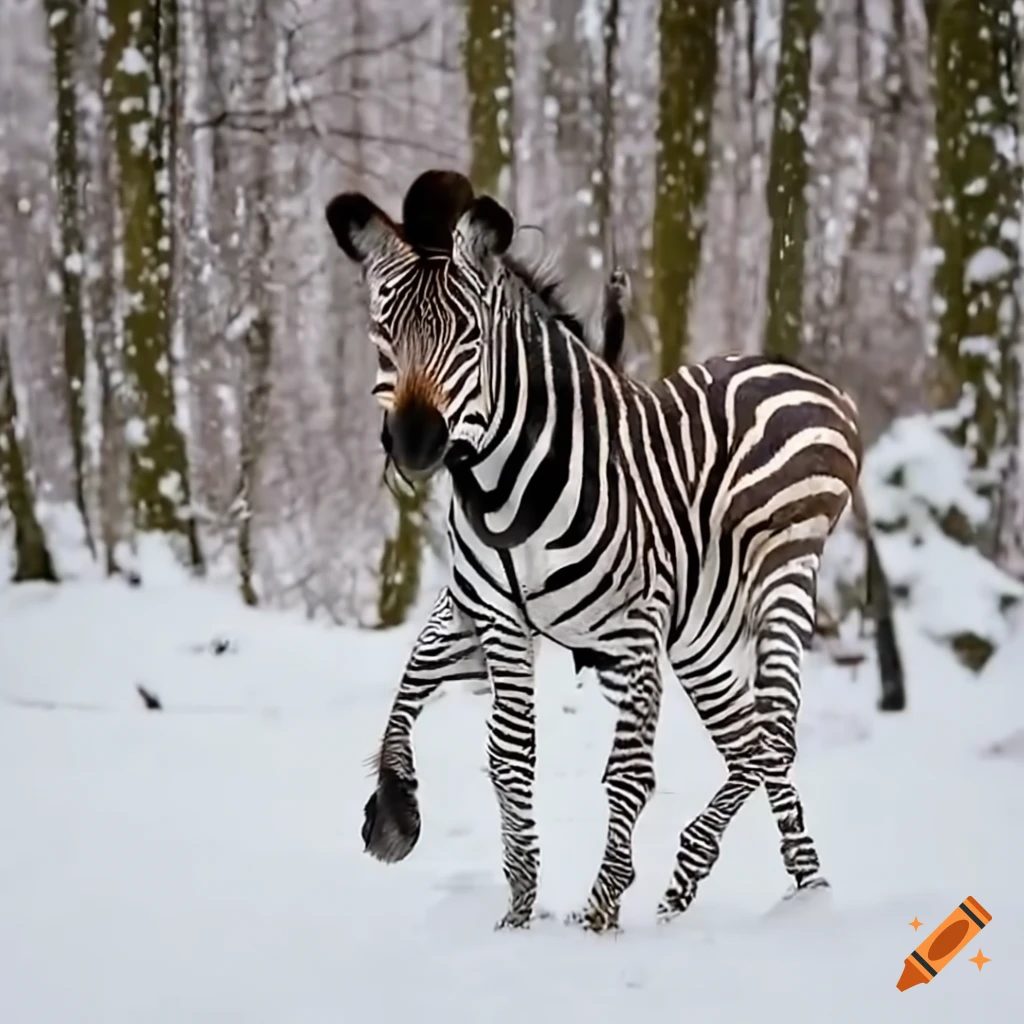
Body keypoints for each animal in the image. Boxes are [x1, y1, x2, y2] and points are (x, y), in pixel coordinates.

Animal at [326, 168, 867, 932]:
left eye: (468, 337)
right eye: (384, 334)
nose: (414, 442)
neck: (501, 489)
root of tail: (803, 376)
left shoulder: (634, 628)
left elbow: (628, 772)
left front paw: (600, 911)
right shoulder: (491, 617)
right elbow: (495, 747)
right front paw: (509, 903)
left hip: (784, 578)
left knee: (775, 735)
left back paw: (731, 879)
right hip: (700, 634)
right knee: (749, 742)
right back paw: (781, 889)